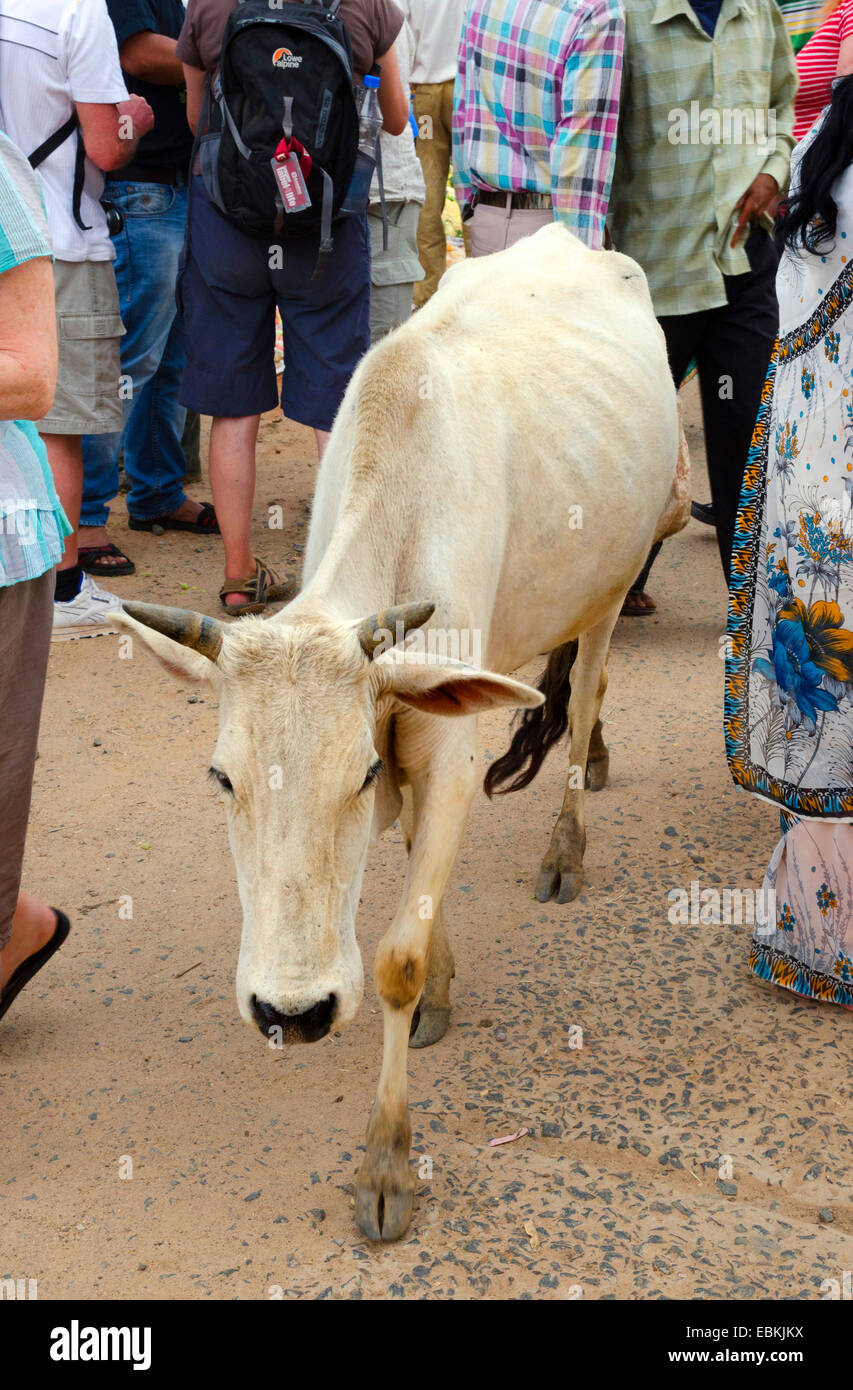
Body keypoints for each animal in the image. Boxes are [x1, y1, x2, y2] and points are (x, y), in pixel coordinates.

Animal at [113, 224, 688, 1241]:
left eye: (357, 775)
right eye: (221, 780)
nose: (291, 1011)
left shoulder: (448, 757)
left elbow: (397, 960)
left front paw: (386, 1166)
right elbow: (421, 864)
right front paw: (445, 992)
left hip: (612, 590)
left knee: (582, 706)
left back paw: (567, 844)